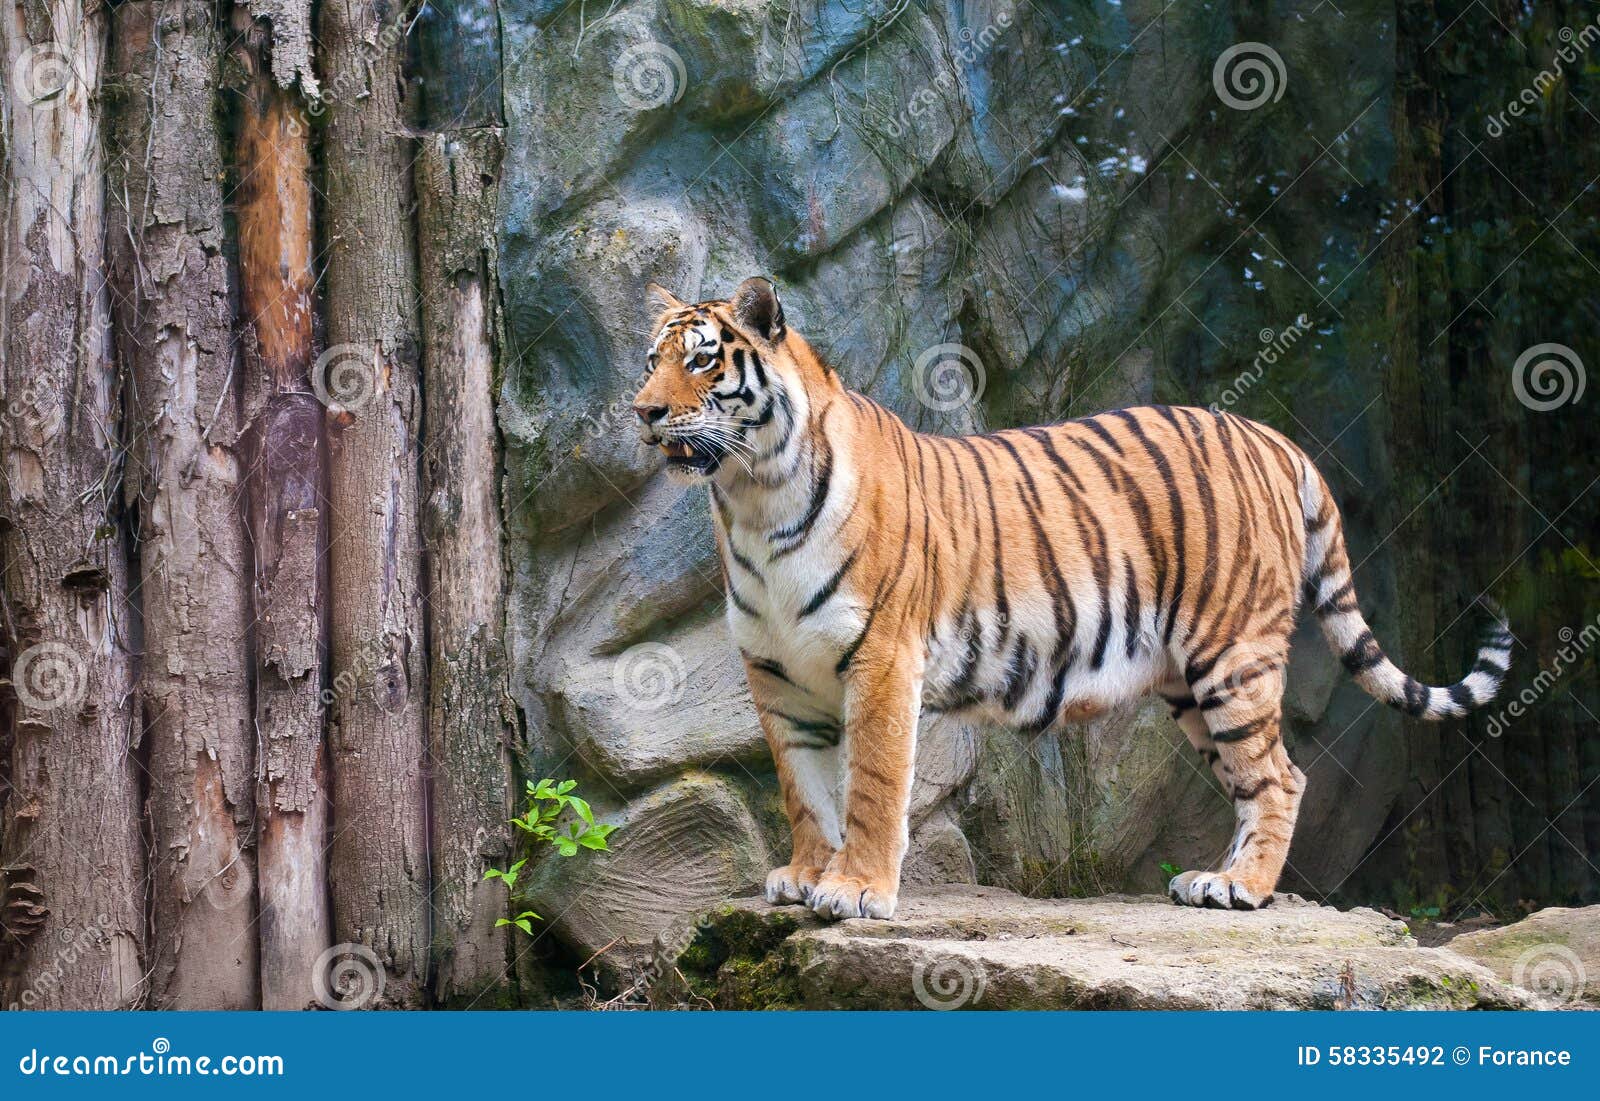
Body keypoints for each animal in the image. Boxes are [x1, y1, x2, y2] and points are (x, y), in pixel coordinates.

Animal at [630, 276, 1512, 921]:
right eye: (649, 360)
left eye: (703, 361)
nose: (643, 411)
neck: (752, 500)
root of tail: (1272, 436)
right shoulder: (777, 673)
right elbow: (804, 790)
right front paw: (804, 874)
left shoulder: (881, 658)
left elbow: (874, 783)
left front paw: (853, 889)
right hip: (1189, 681)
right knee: (1251, 776)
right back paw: (1209, 879)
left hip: (1232, 655)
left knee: (1280, 776)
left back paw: (1245, 887)